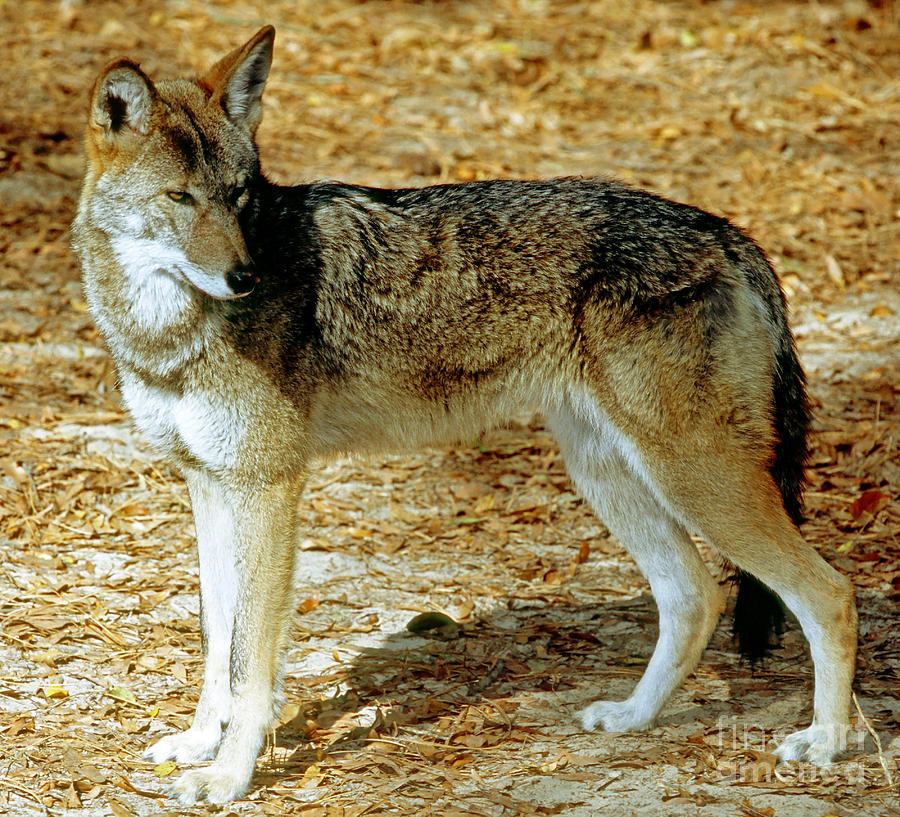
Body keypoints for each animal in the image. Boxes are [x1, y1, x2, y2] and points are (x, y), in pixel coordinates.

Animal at [72, 26, 858, 804]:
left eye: (239, 198)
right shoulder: (209, 484)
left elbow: (251, 663)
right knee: (694, 596)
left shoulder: (268, 489)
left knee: (829, 592)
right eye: (180, 197)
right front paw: (198, 745)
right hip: (610, 474)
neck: (168, 334)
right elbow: (217, 644)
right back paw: (634, 716)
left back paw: (825, 742)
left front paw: (231, 776)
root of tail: (730, 234)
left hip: (695, 479)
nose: (244, 277)